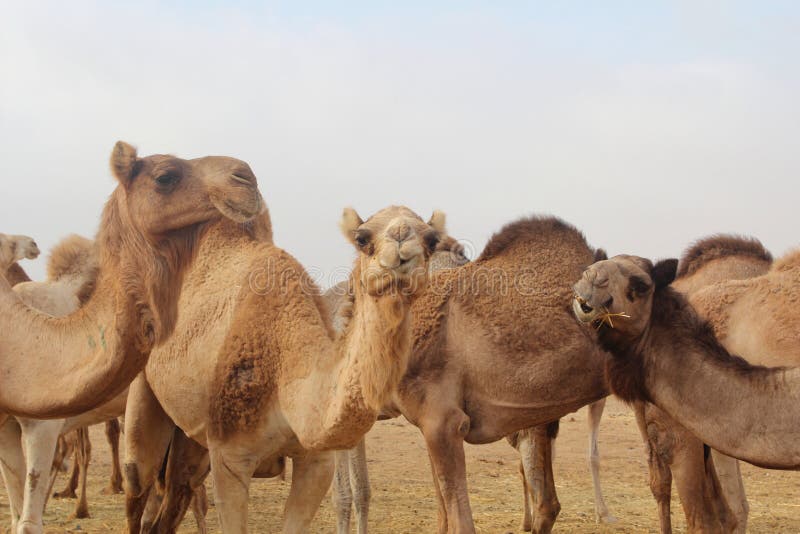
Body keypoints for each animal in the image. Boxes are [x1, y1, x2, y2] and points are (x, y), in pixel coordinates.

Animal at [123, 204, 443, 533]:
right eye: (362, 238)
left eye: (432, 240)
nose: (402, 240)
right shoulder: (230, 455)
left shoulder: (316, 462)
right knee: (137, 483)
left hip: (192, 441)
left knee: (175, 495)